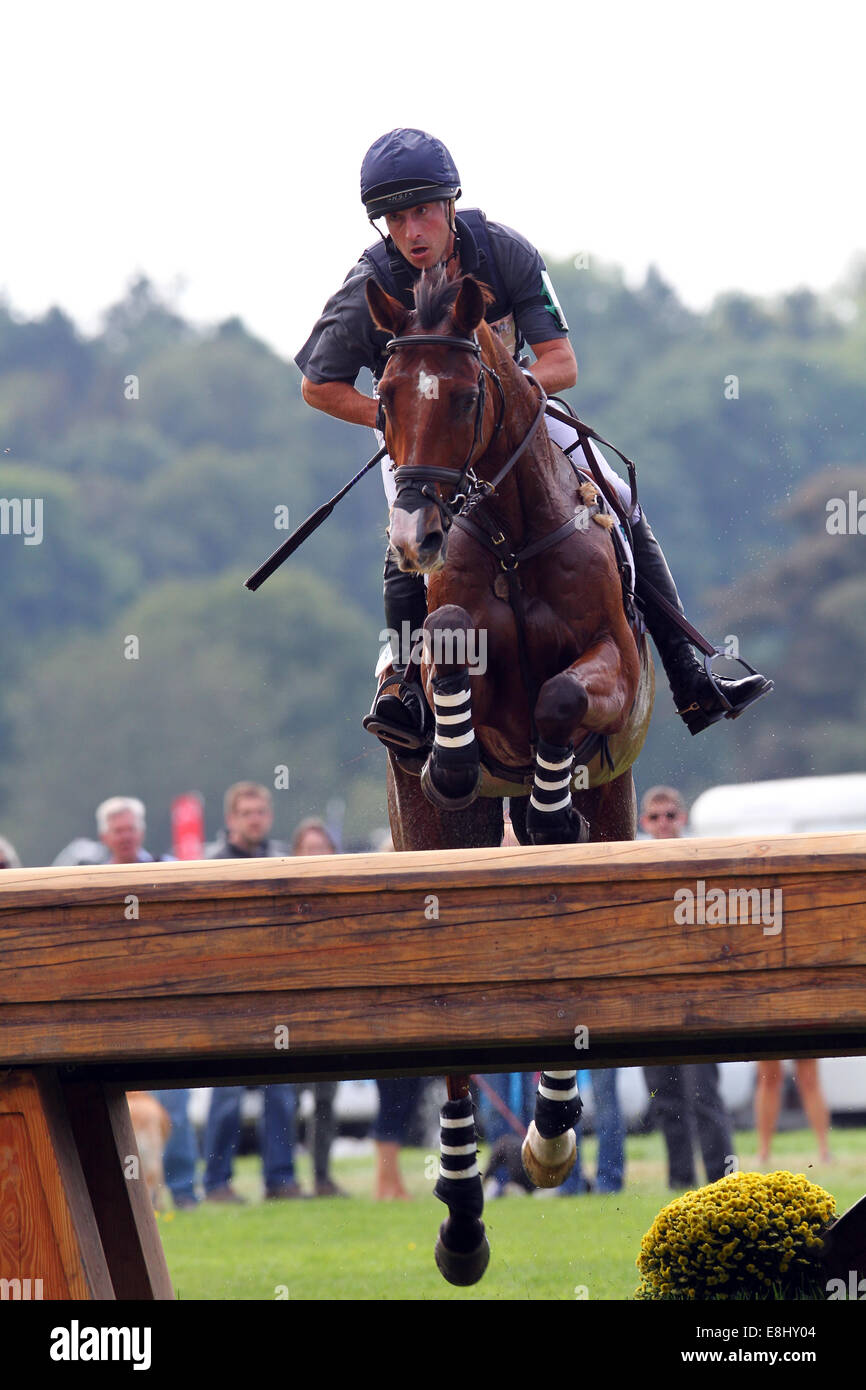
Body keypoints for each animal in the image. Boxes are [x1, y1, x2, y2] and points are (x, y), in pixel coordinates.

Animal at [366, 266, 654, 1285]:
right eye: (383, 398)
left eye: (463, 397)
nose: (415, 534)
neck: (512, 534)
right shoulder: (453, 643)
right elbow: (452, 652)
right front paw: (454, 756)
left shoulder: (616, 672)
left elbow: (565, 699)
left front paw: (549, 799)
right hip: (425, 843)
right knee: (451, 1049)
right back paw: (460, 1224)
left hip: (618, 810)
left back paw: (553, 1138)